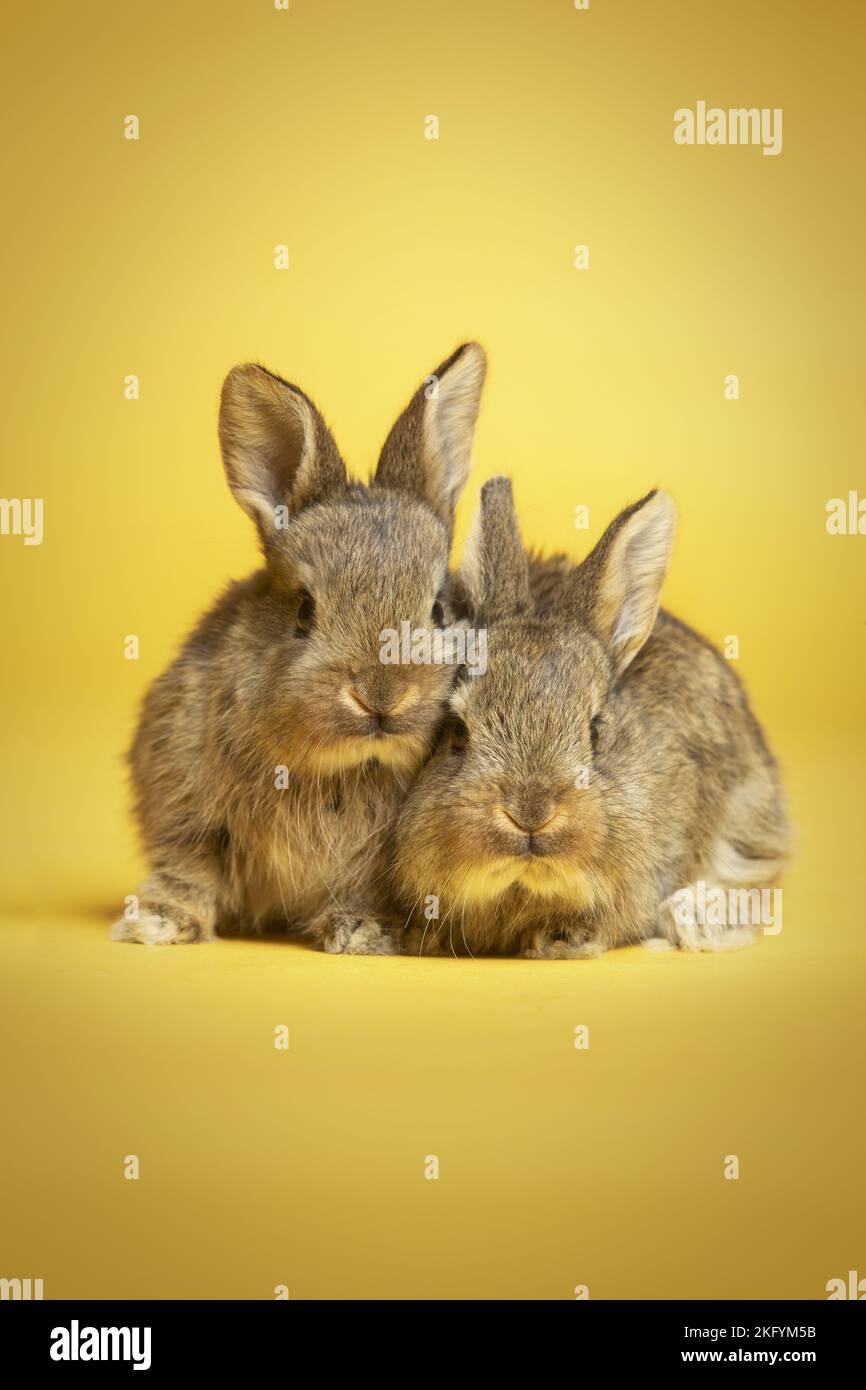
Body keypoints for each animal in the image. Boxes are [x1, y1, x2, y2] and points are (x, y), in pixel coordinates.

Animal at [111, 342, 487, 953]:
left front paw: (361, 930)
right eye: (304, 610)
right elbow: (191, 864)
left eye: (438, 609)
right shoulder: (184, 801)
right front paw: (159, 920)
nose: (381, 696)